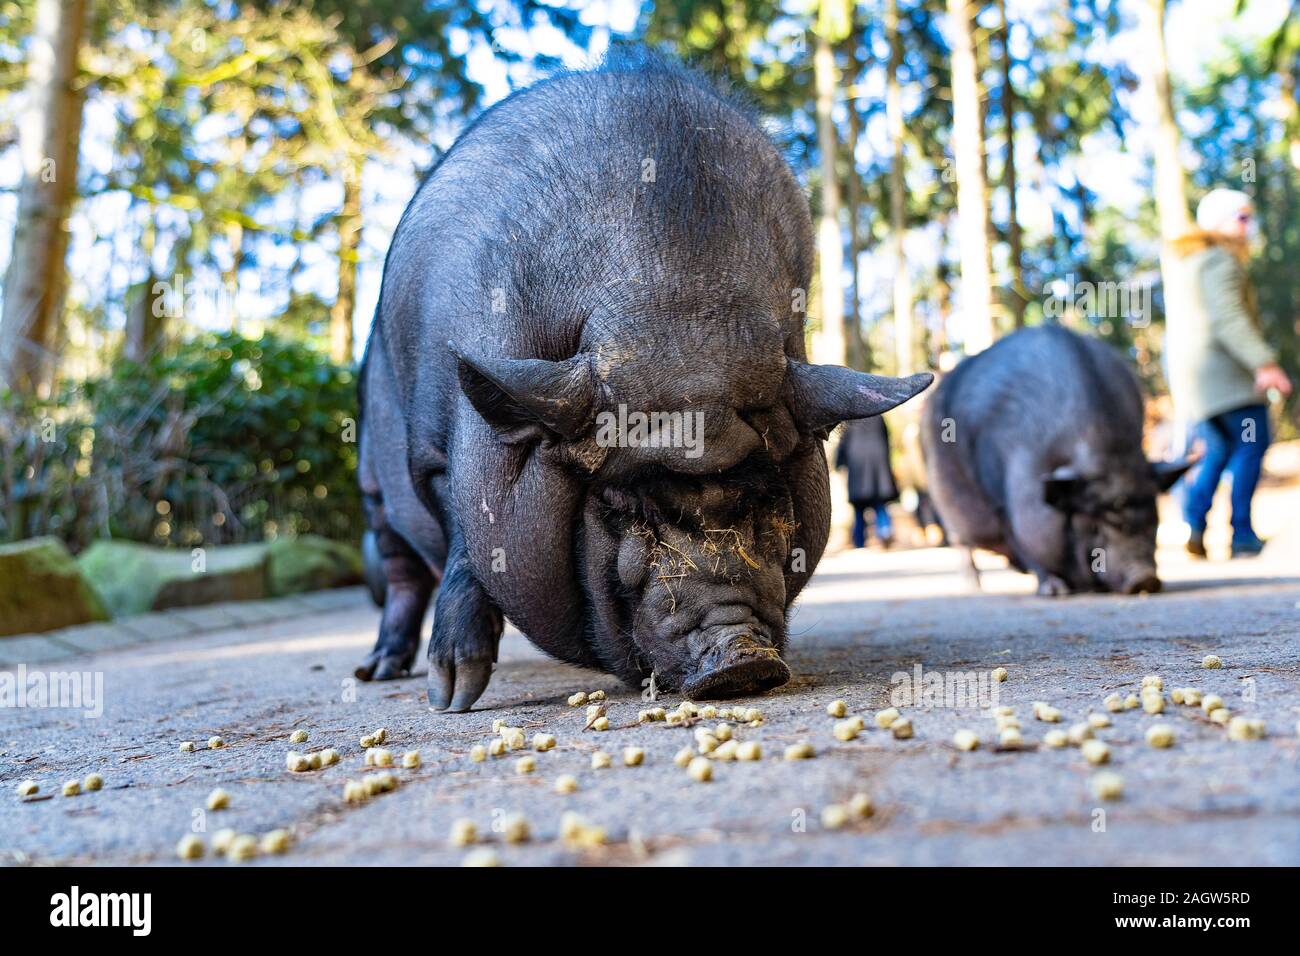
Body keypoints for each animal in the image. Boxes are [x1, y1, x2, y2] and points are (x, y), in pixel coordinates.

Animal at [354, 54, 933, 710]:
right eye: (624, 504)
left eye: (768, 493)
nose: (741, 660)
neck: (681, 319)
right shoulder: (430, 455)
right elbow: (463, 548)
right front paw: (452, 697)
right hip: (372, 480)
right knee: (399, 568)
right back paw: (380, 673)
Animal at [921, 325, 1190, 596]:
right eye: (1092, 520)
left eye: (1153, 515)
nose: (1144, 578)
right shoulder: (1002, 499)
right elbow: (1024, 544)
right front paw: (1054, 590)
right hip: (946, 508)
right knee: (963, 545)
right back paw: (975, 588)